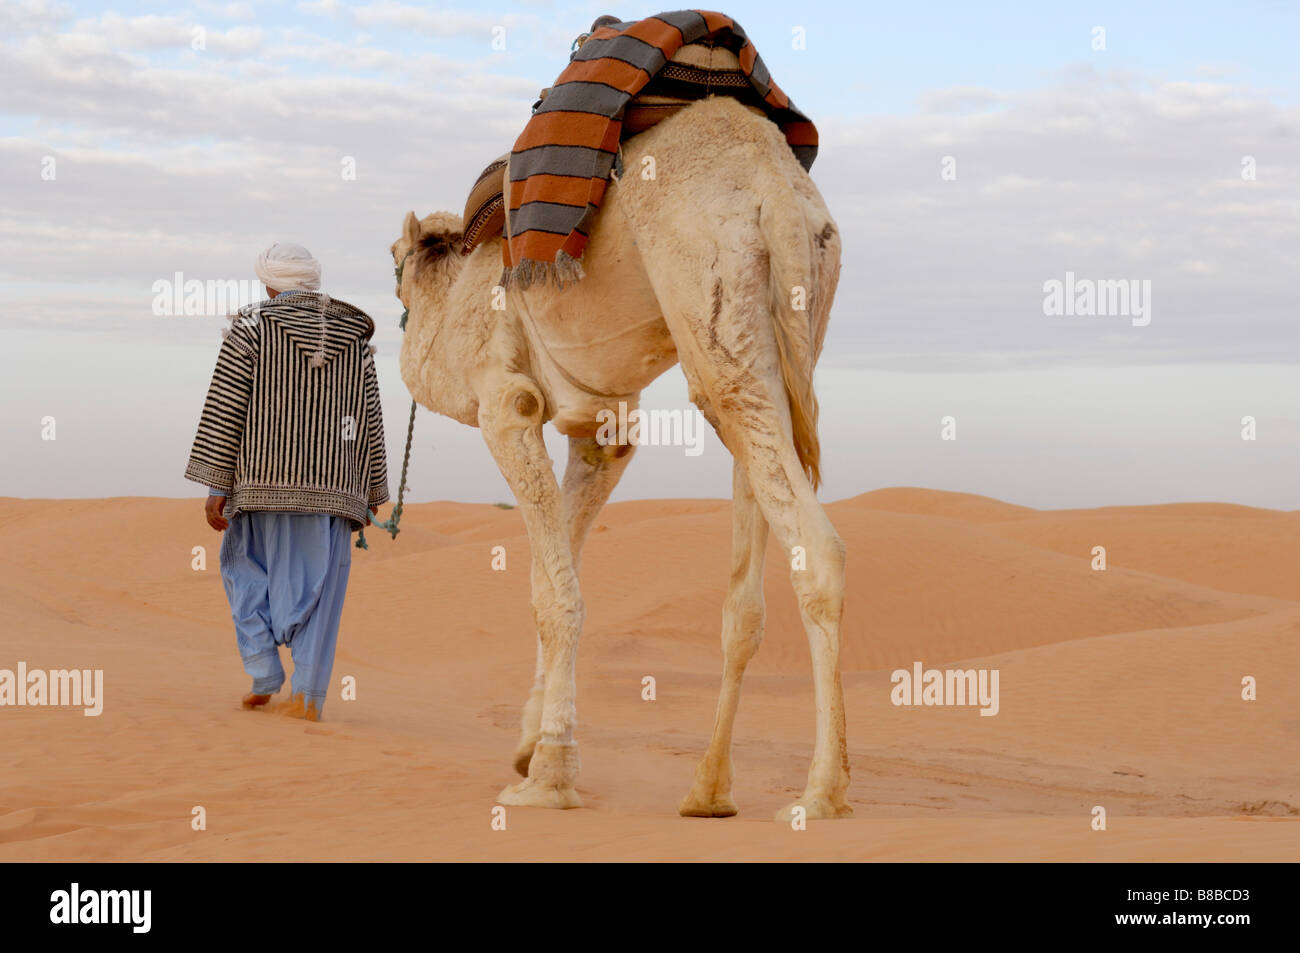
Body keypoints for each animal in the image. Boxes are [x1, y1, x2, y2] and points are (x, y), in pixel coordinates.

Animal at [391, 94, 848, 821]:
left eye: (394, 265)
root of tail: (776, 190)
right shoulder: (605, 428)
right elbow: (553, 571)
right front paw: (530, 745)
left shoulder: (506, 403)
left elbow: (556, 593)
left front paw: (547, 776)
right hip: (783, 327)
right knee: (746, 593)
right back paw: (708, 789)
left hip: (708, 286)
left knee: (818, 547)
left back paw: (820, 794)